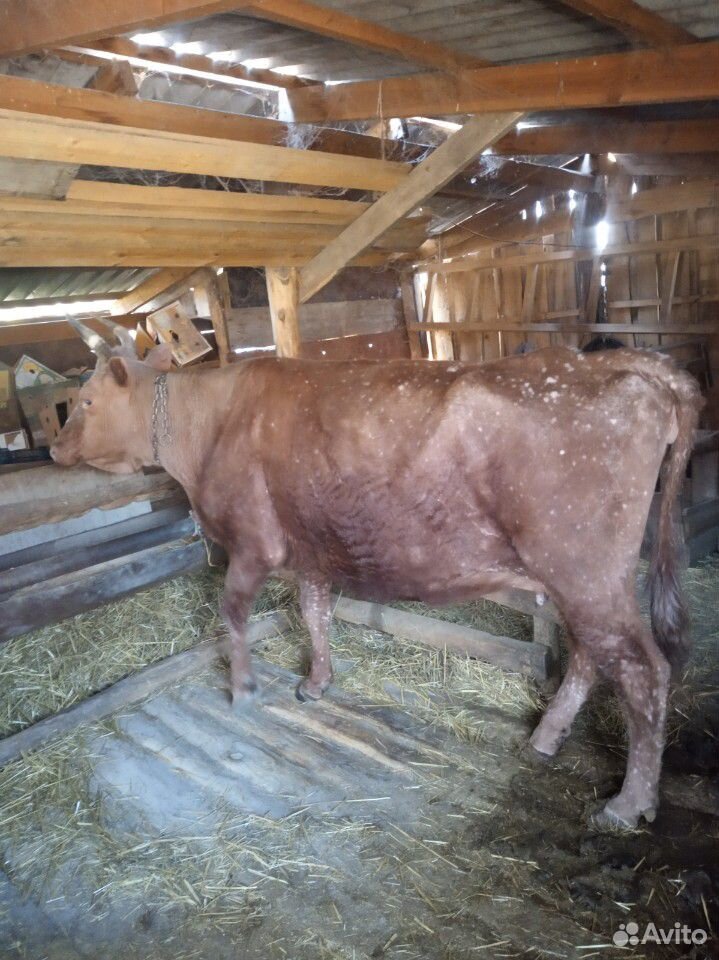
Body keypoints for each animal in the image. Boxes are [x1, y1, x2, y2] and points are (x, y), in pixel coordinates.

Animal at [51, 319, 703, 830]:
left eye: (85, 400)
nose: (54, 450)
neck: (208, 424)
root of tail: (614, 360)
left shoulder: (254, 544)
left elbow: (231, 614)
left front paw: (242, 688)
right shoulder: (308, 547)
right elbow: (314, 612)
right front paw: (316, 681)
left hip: (583, 569)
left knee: (643, 672)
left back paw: (627, 804)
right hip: (584, 579)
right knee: (593, 657)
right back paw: (545, 738)